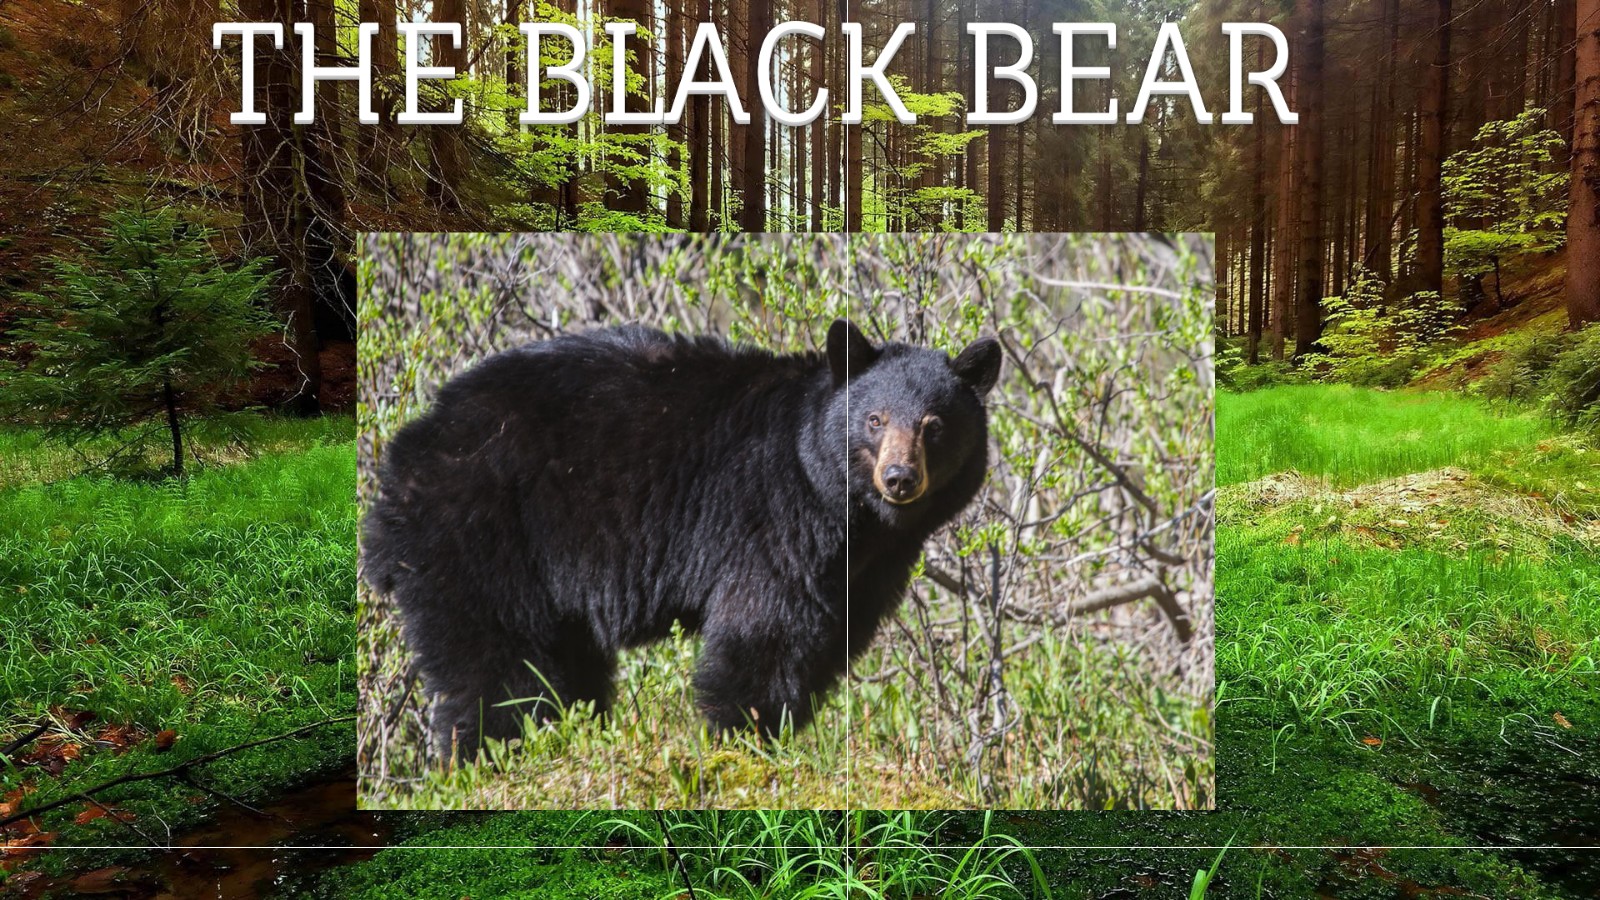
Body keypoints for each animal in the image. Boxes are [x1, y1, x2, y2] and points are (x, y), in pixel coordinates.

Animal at [361, 318, 1001, 758]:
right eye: (874, 420)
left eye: (934, 425)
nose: (899, 478)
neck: (847, 510)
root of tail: (403, 455)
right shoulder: (772, 519)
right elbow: (762, 632)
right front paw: (743, 739)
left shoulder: (863, 570)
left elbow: (825, 640)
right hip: (483, 534)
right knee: (494, 660)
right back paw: (493, 751)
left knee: (564, 662)